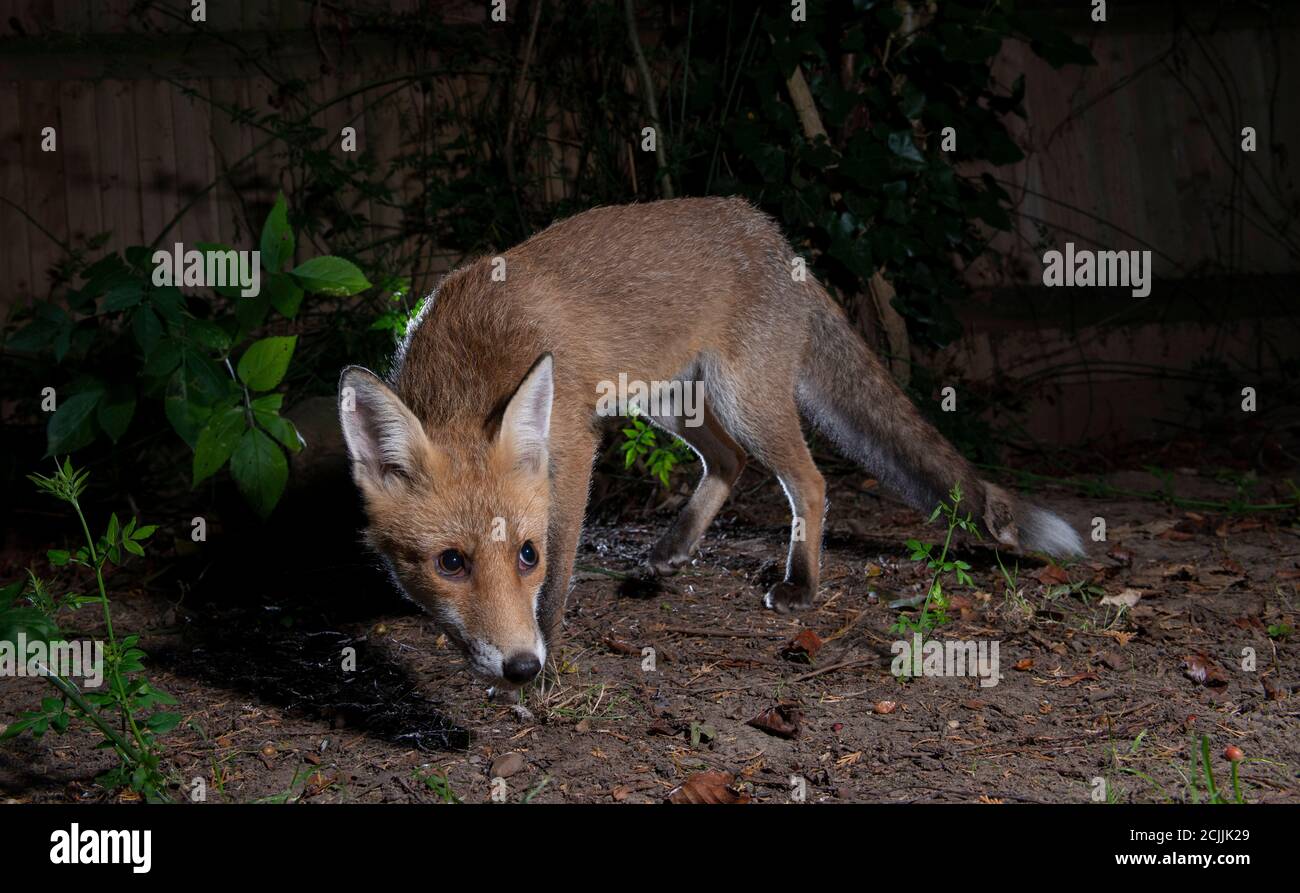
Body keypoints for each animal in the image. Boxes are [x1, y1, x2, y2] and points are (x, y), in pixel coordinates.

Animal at [338, 197, 1083, 689]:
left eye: (525, 554)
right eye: (450, 562)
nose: (520, 668)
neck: (472, 357)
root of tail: (773, 232)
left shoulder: (572, 447)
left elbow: (559, 566)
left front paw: (547, 647)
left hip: (740, 398)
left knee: (809, 480)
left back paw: (800, 582)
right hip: (670, 402)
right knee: (729, 462)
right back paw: (674, 547)